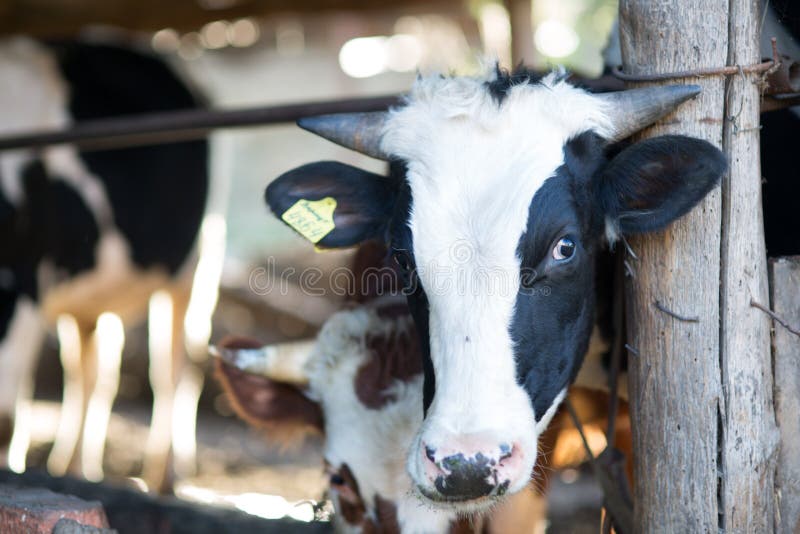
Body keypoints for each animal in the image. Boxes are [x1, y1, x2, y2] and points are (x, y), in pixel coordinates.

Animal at [0, 37, 211, 492]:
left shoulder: (24, 283)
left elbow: (6, 414)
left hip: (194, 265)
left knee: (175, 366)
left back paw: (165, 474)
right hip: (92, 296)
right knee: (92, 373)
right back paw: (73, 467)